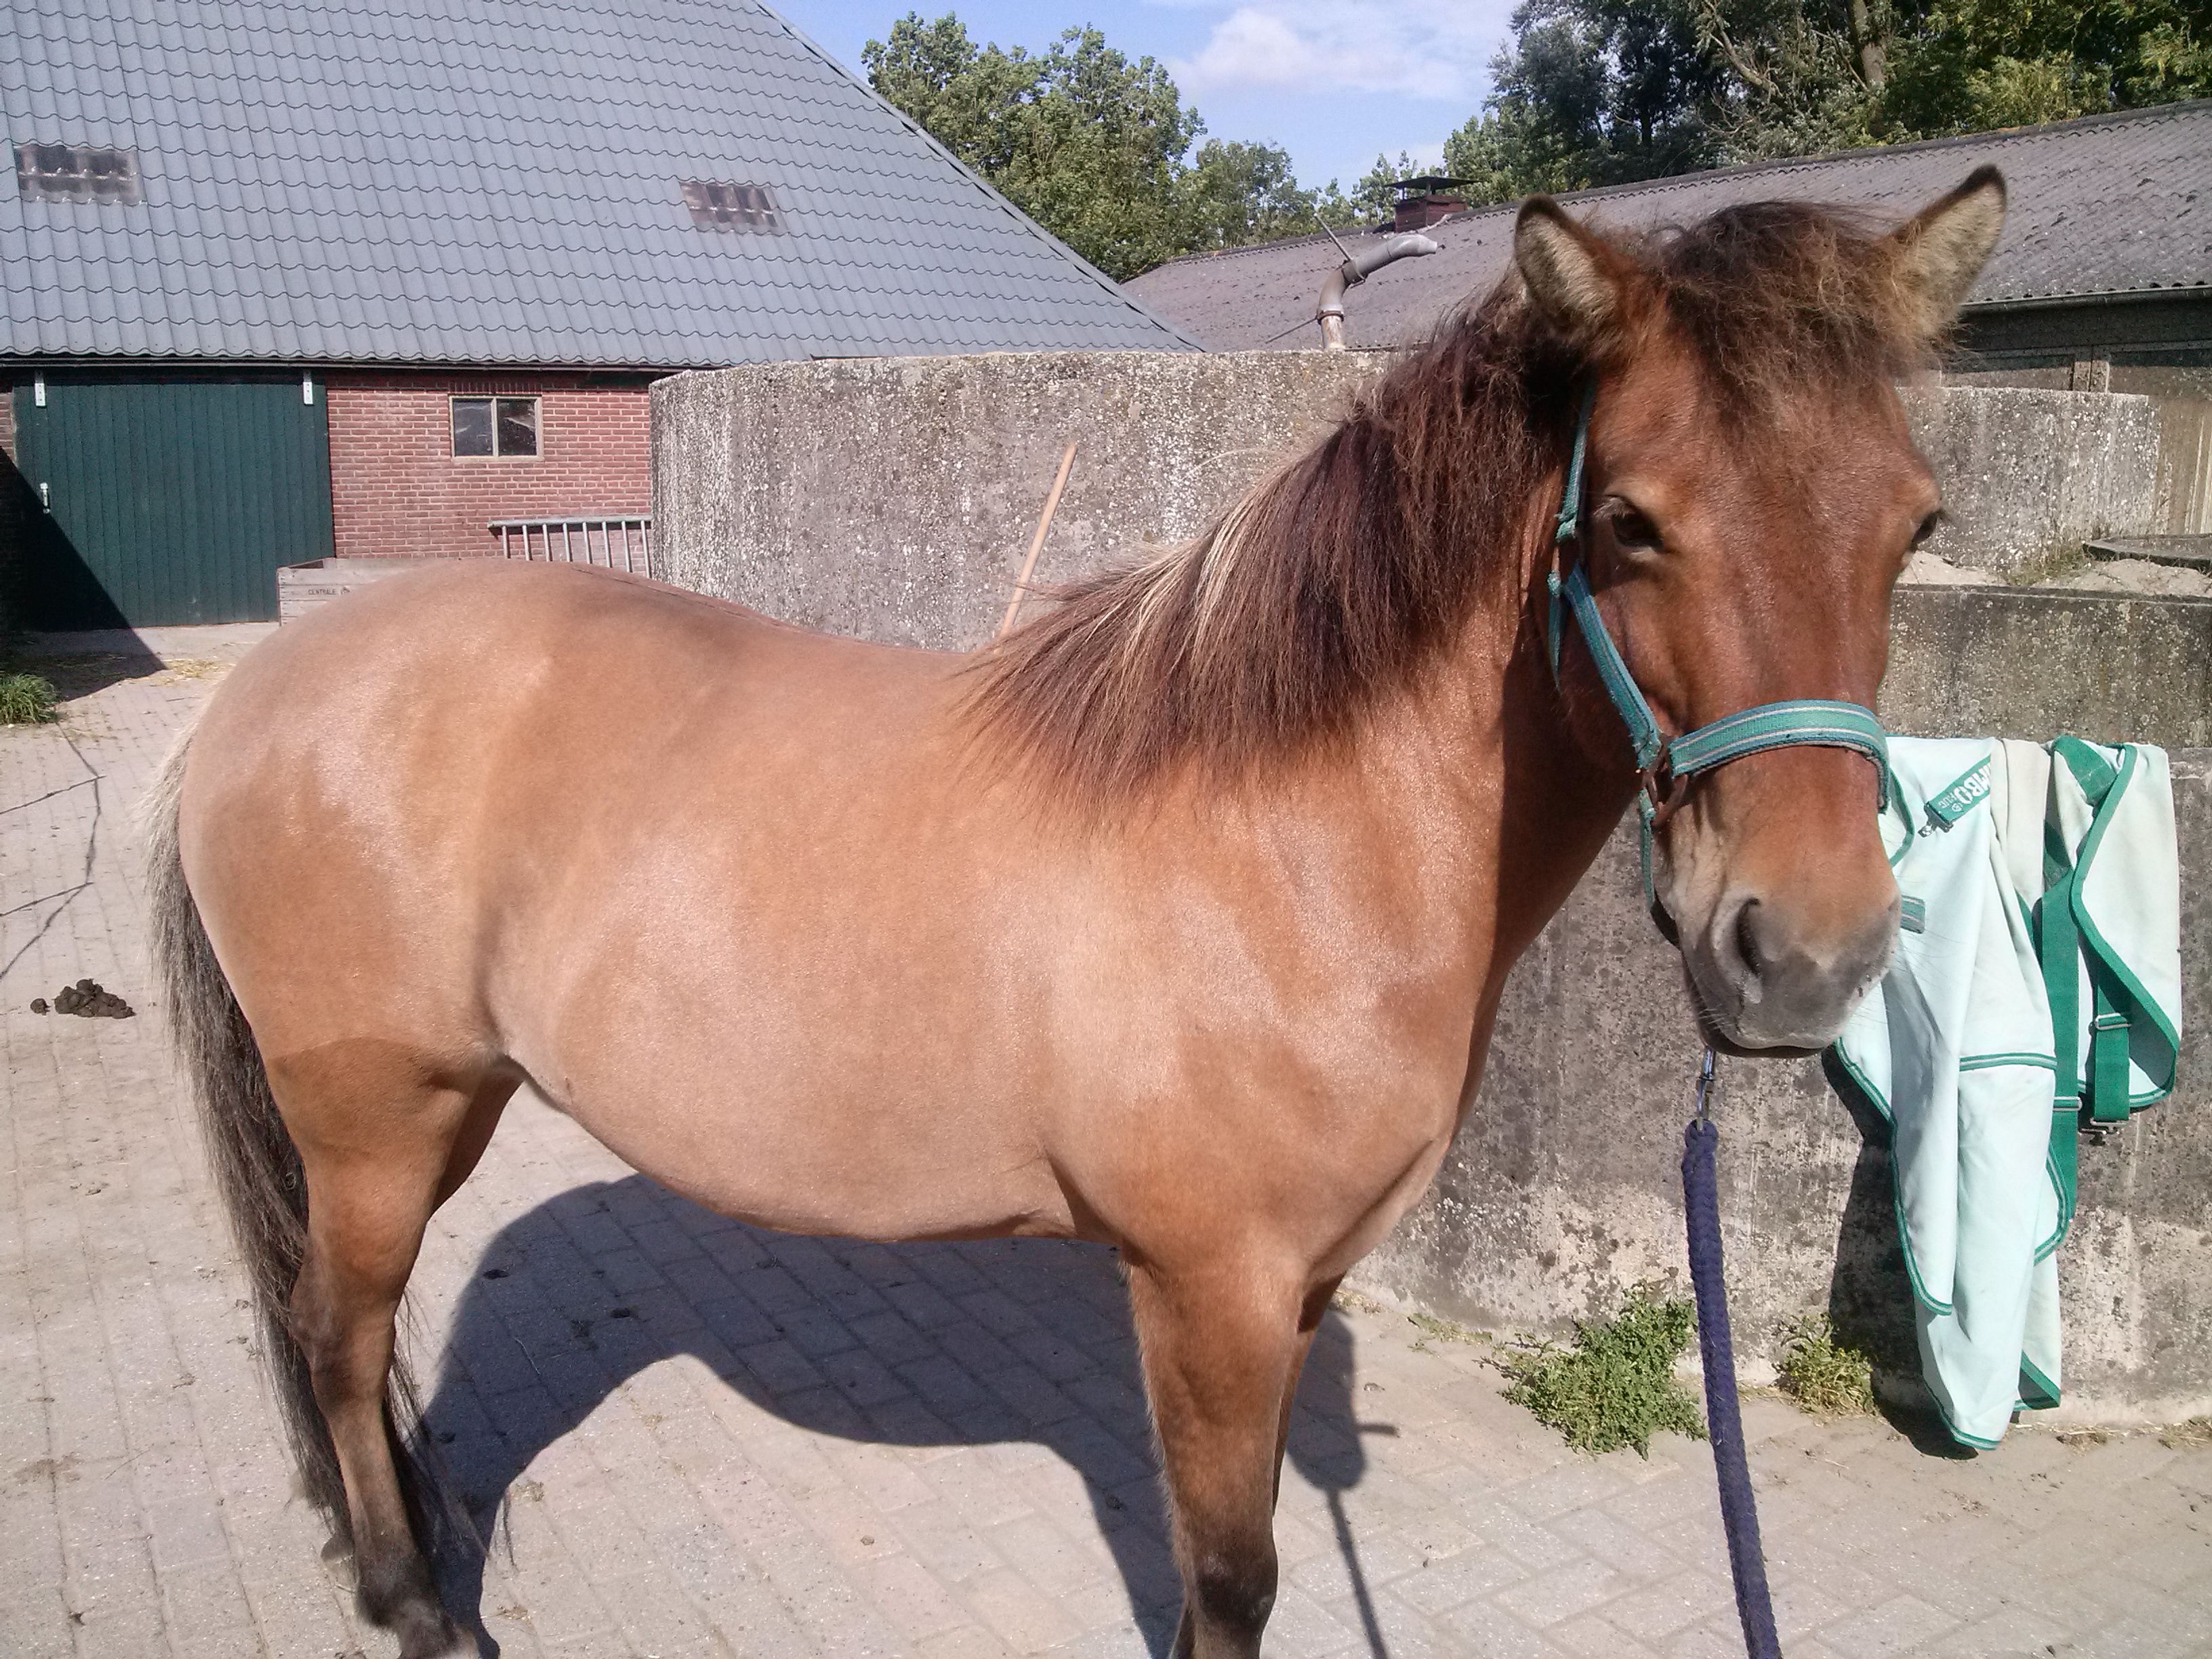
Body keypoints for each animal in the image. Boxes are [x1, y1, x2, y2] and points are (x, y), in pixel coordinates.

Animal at [146, 170, 2005, 1658]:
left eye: (1917, 522)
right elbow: (1231, 1578)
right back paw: (418, 1606)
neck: (1295, 843)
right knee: (336, 1335)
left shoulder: (1292, 1293)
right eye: (1628, 521)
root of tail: (263, 689)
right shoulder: (1210, 1292)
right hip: (379, 1120)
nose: (1803, 954)